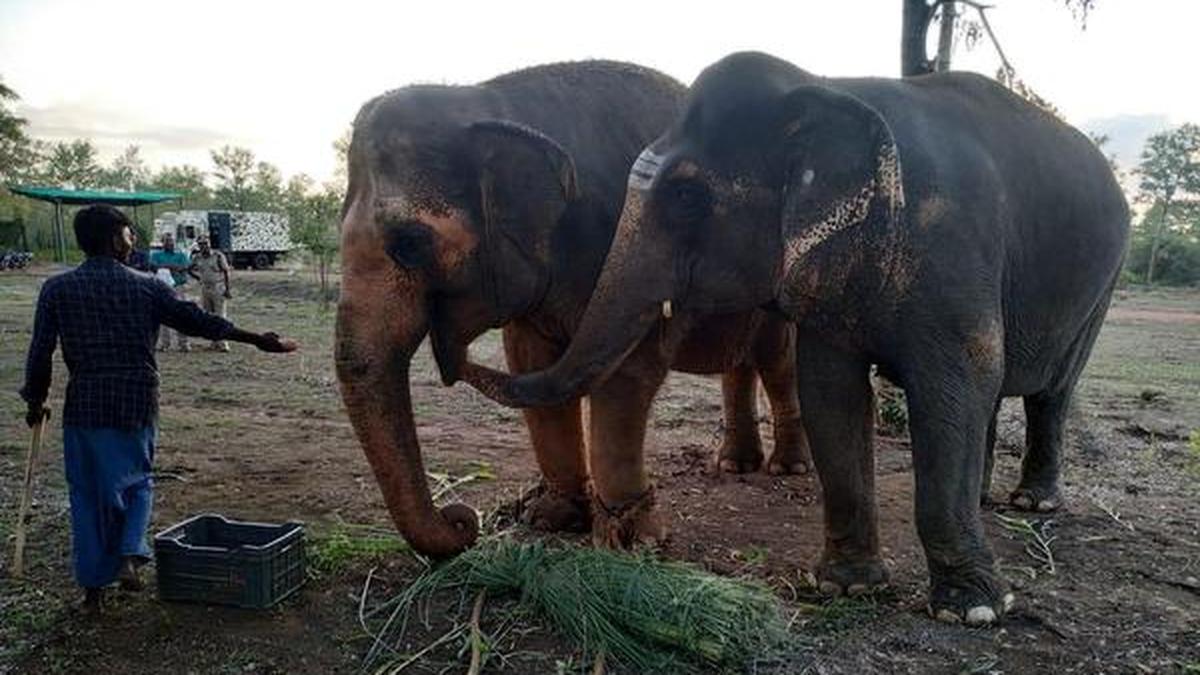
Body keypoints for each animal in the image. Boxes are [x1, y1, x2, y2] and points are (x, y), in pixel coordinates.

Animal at [335, 60, 811, 560]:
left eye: (410, 243)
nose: (463, 519)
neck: (490, 100)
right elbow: (530, 360)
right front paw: (552, 519)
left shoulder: (628, 244)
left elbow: (625, 373)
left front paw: (634, 542)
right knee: (740, 362)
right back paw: (737, 465)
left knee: (777, 360)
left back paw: (788, 469)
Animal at [462, 52, 1129, 624]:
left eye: (687, 197)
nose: (456, 349)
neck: (825, 87)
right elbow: (832, 392)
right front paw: (846, 587)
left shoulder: (954, 248)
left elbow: (951, 390)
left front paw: (975, 611)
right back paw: (989, 499)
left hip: (1102, 286)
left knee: (1050, 392)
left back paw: (1033, 505)